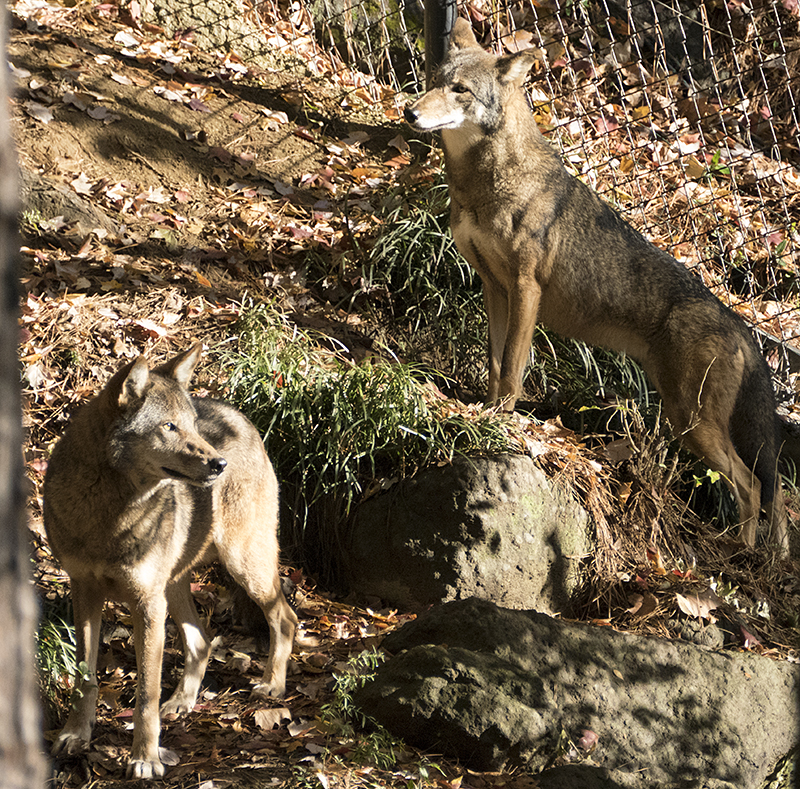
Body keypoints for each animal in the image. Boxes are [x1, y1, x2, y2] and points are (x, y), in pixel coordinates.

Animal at [43, 343, 297, 779]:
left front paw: (145, 758)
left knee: (285, 618)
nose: (219, 464)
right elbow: (84, 677)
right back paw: (181, 703)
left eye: (190, 426)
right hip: (175, 585)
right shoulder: (84, 591)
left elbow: (146, 692)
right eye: (169, 427)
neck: (108, 516)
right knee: (201, 642)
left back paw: (272, 686)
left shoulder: (146, 603)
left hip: (244, 564)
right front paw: (75, 735)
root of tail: (238, 414)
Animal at [404, 18, 789, 553]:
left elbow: (513, 368)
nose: (410, 111)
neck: (483, 183)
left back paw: (741, 551)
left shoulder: (525, 287)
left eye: (459, 90)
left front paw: (501, 420)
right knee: (774, 492)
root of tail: (742, 326)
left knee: (752, 485)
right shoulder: (493, 287)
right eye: (435, 79)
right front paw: (484, 411)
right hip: (686, 419)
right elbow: (495, 363)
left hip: (690, 420)